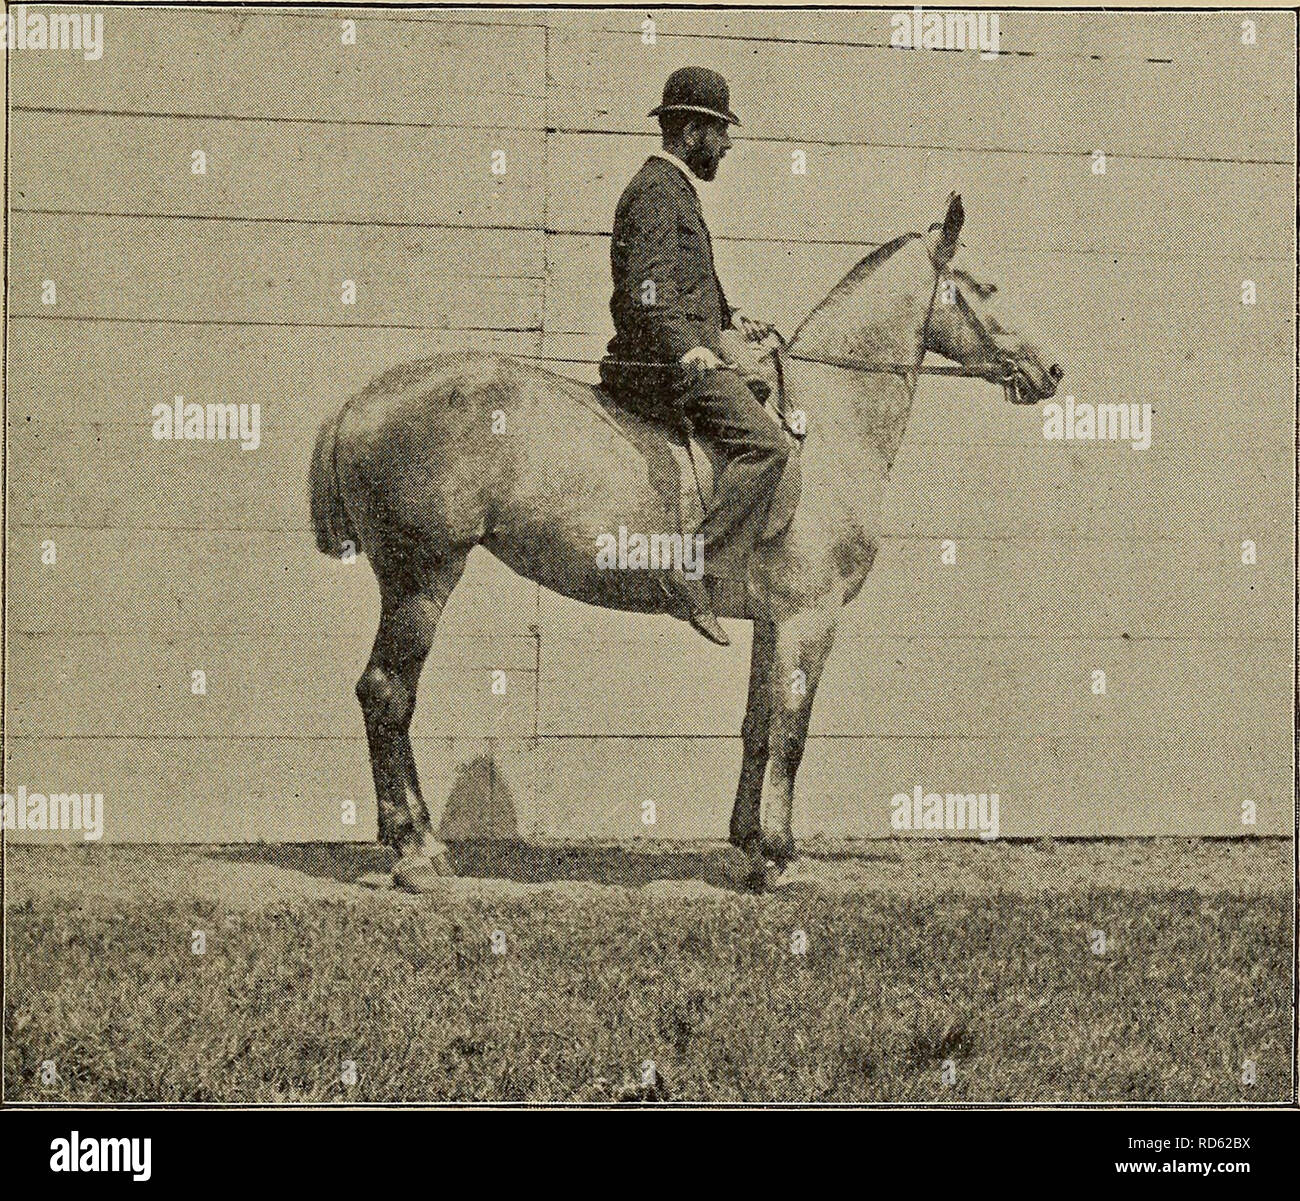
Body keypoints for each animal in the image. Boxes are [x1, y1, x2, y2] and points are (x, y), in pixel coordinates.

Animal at [309, 194, 1063, 891]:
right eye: (987, 285)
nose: (1051, 371)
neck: (821, 426)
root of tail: (362, 399)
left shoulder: (772, 620)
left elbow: (758, 727)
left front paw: (750, 844)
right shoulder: (809, 617)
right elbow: (793, 731)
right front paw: (781, 857)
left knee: (386, 695)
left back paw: (415, 842)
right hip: (423, 577)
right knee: (387, 694)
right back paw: (417, 853)